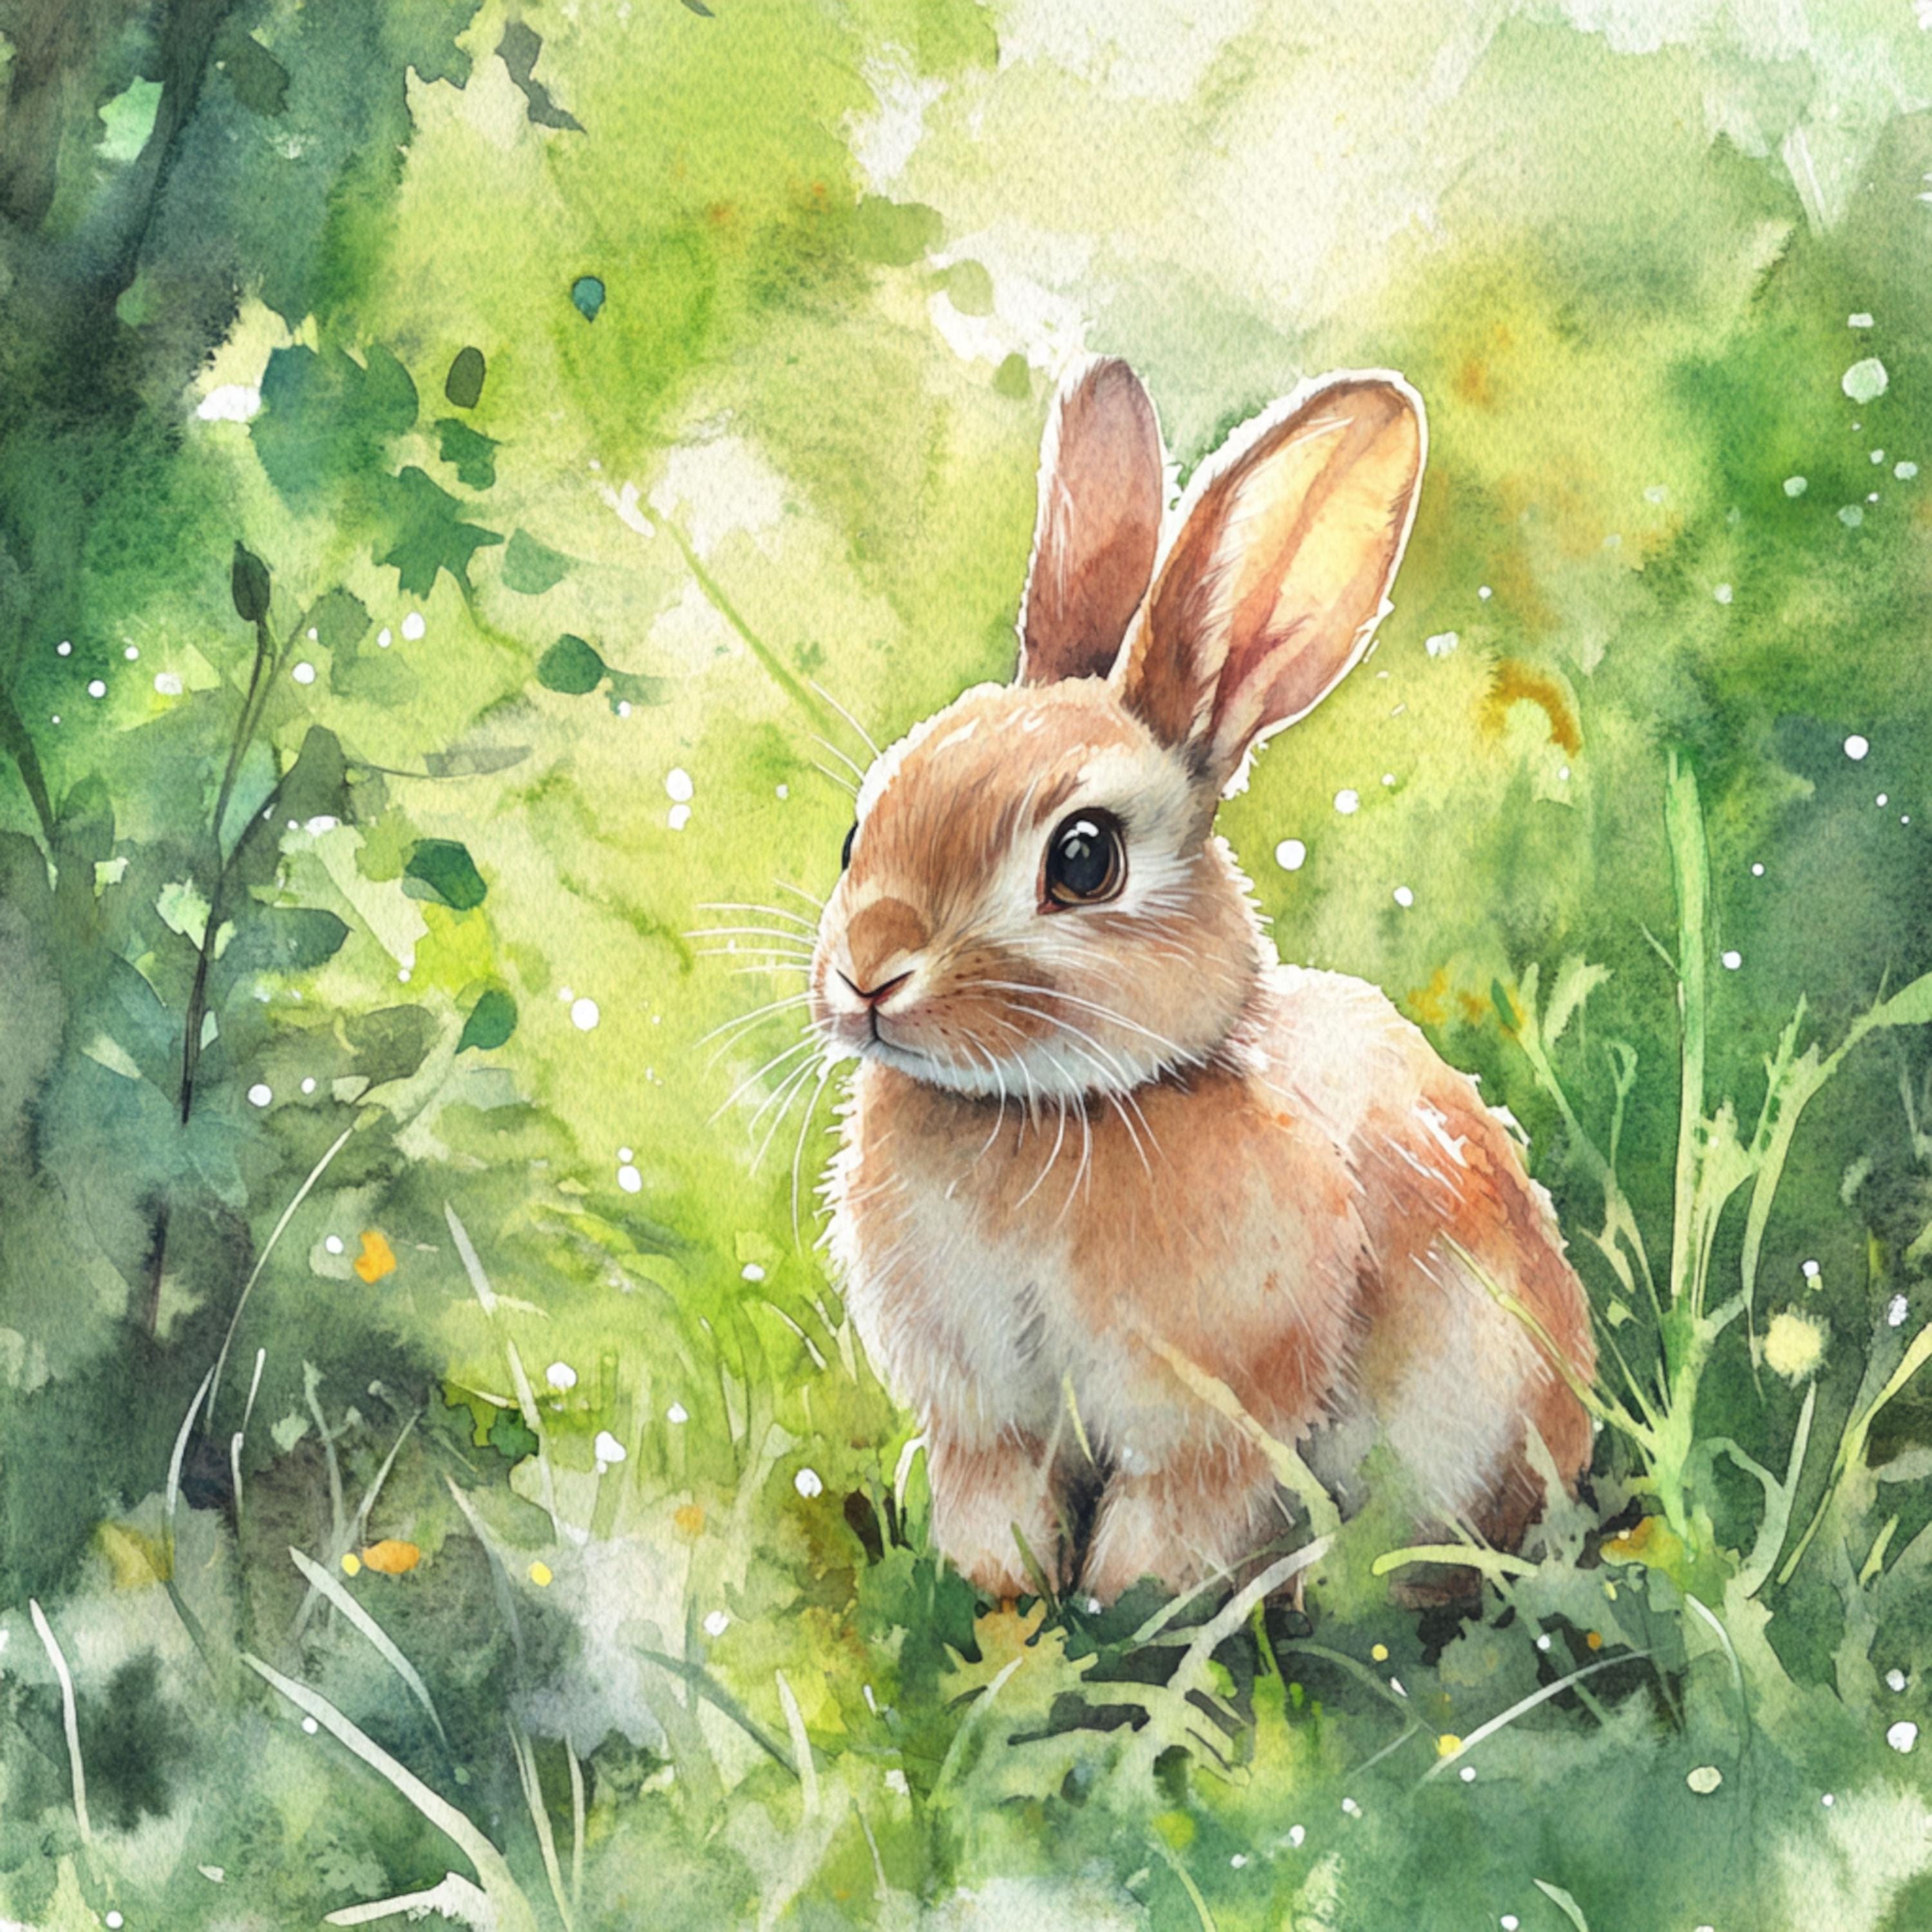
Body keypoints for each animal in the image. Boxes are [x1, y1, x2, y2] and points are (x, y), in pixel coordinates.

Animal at [807, 356, 1595, 1606]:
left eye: (1084, 859)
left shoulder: (1213, 1427)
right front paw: (1003, 1597)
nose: (868, 977)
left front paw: (1115, 1609)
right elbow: (996, 1507)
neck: (1053, 1110)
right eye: (858, 828)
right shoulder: (985, 1422)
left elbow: (1165, 1533)